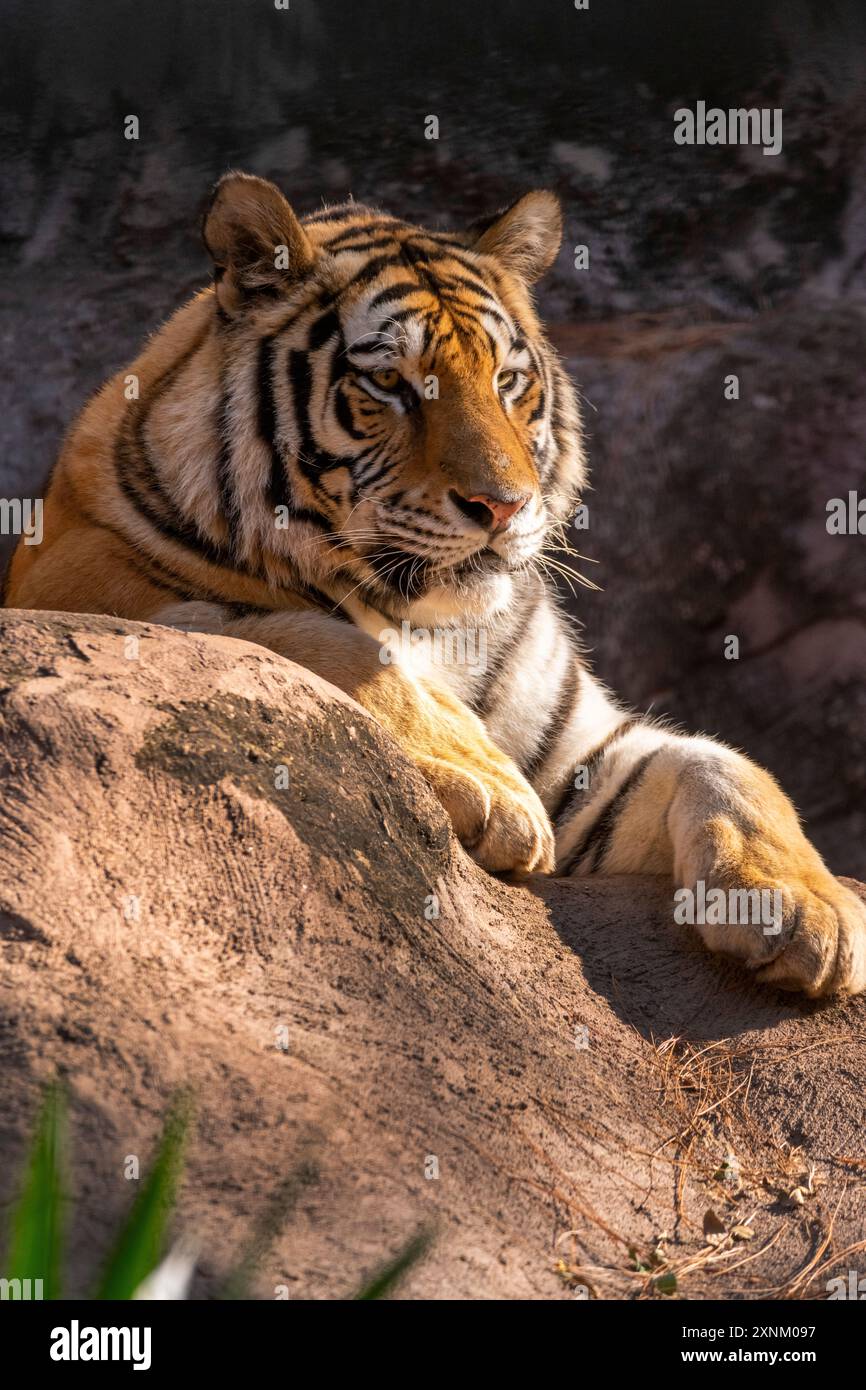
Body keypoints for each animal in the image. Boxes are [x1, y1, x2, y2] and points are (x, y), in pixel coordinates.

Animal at [5, 170, 865, 997]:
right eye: (391, 383)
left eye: (508, 379)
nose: (504, 505)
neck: (435, 620)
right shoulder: (85, 585)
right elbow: (319, 639)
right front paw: (489, 783)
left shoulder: (584, 758)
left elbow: (726, 763)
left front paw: (806, 910)